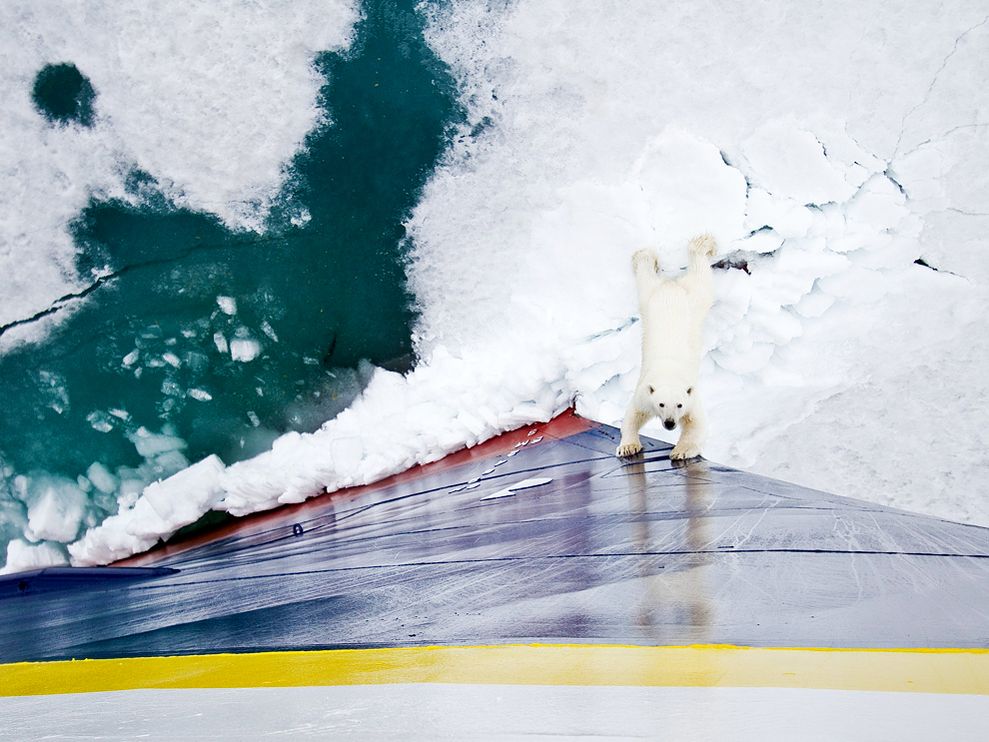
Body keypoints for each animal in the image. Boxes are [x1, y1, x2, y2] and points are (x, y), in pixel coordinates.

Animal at [616, 234, 717, 460]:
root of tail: (670, 288)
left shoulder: (691, 398)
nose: (670, 423)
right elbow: (632, 416)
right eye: (661, 404)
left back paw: (701, 244)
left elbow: (697, 424)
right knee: (646, 278)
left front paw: (680, 451)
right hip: (649, 298)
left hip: (692, 298)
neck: (669, 372)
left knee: (701, 278)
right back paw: (643, 256)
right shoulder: (644, 394)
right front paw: (628, 447)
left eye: (679, 404)